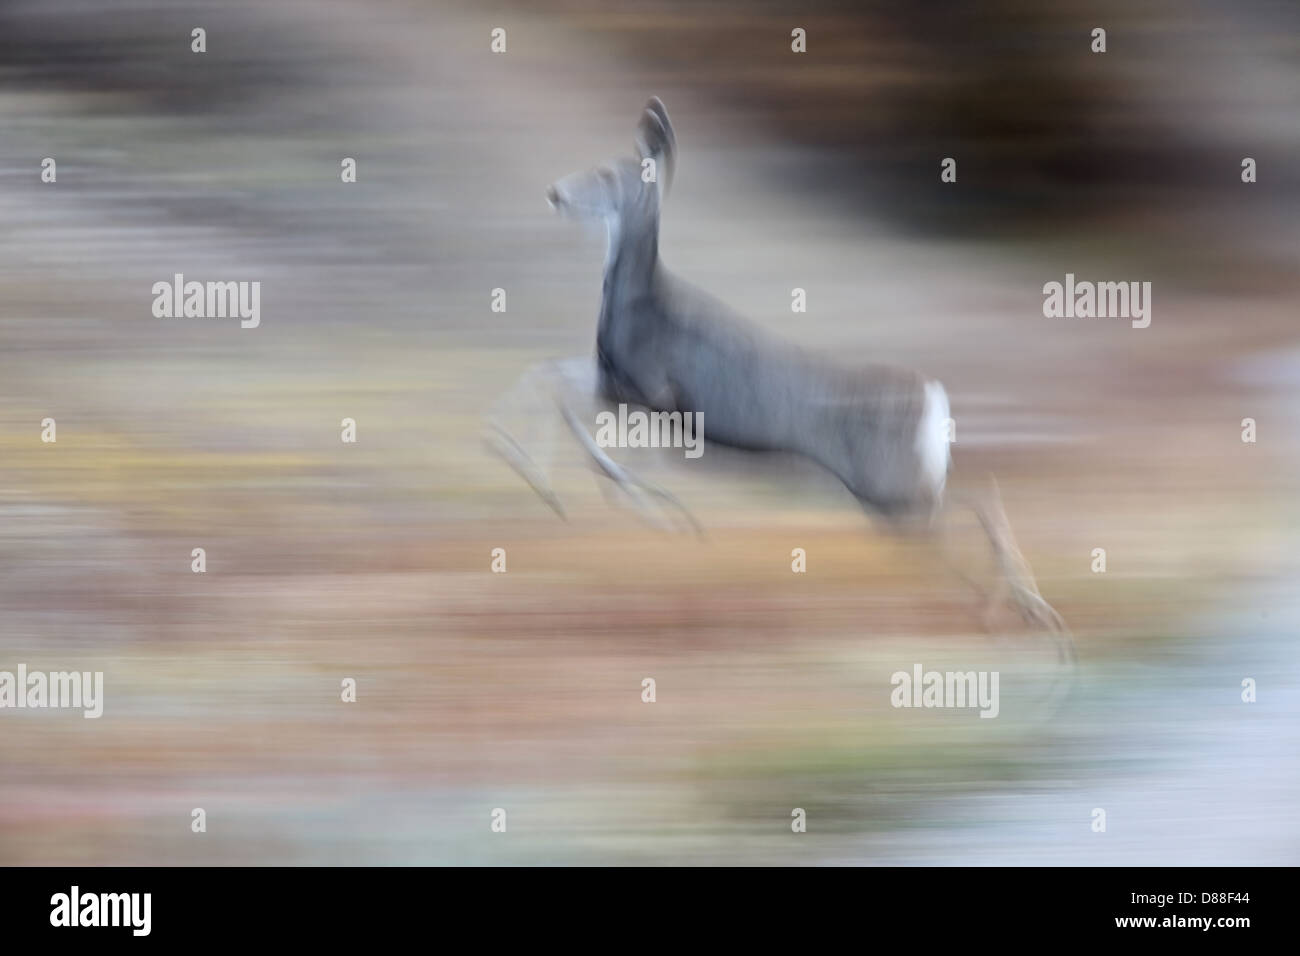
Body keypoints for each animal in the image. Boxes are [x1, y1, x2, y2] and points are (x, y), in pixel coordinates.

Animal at [487, 98, 1073, 665]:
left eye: (608, 173)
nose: (554, 193)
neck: (636, 302)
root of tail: (934, 398)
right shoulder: (616, 381)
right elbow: (547, 376)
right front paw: (531, 464)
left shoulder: (650, 390)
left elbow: (568, 405)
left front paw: (623, 501)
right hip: (897, 490)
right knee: (975, 500)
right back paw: (1035, 616)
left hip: (891, 486)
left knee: (968, 514)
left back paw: (1019, 621)